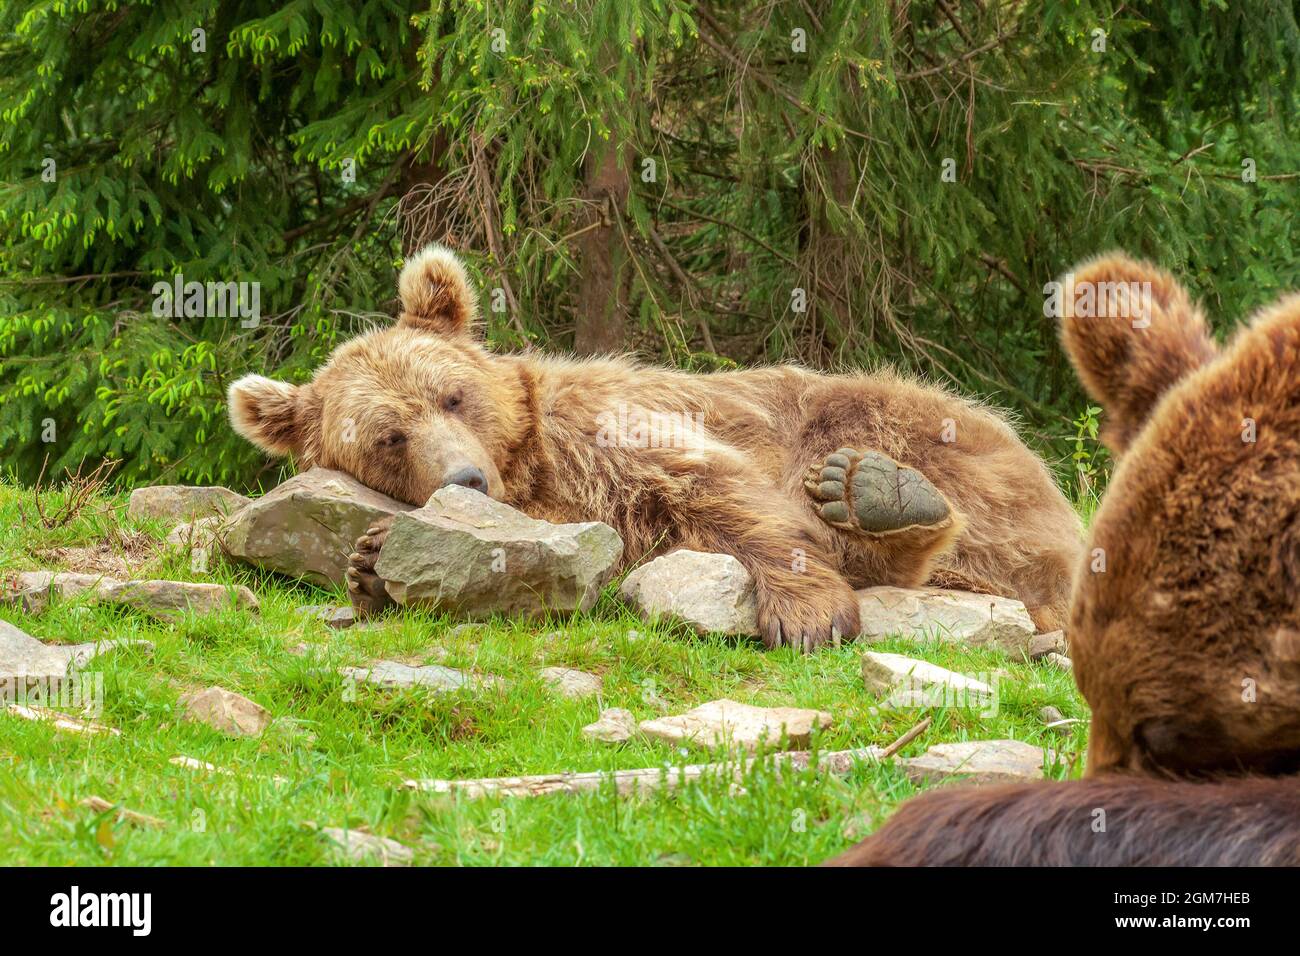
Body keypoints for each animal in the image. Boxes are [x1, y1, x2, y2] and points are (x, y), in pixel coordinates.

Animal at [227, 244, 1081, 651]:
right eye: (388, 437)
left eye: (452, 395)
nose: (465, 478)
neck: (531, 466)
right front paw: (373, 558)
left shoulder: (616, 433)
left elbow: (719, 489)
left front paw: (805, 611)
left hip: (911, 424)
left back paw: (875, 493)